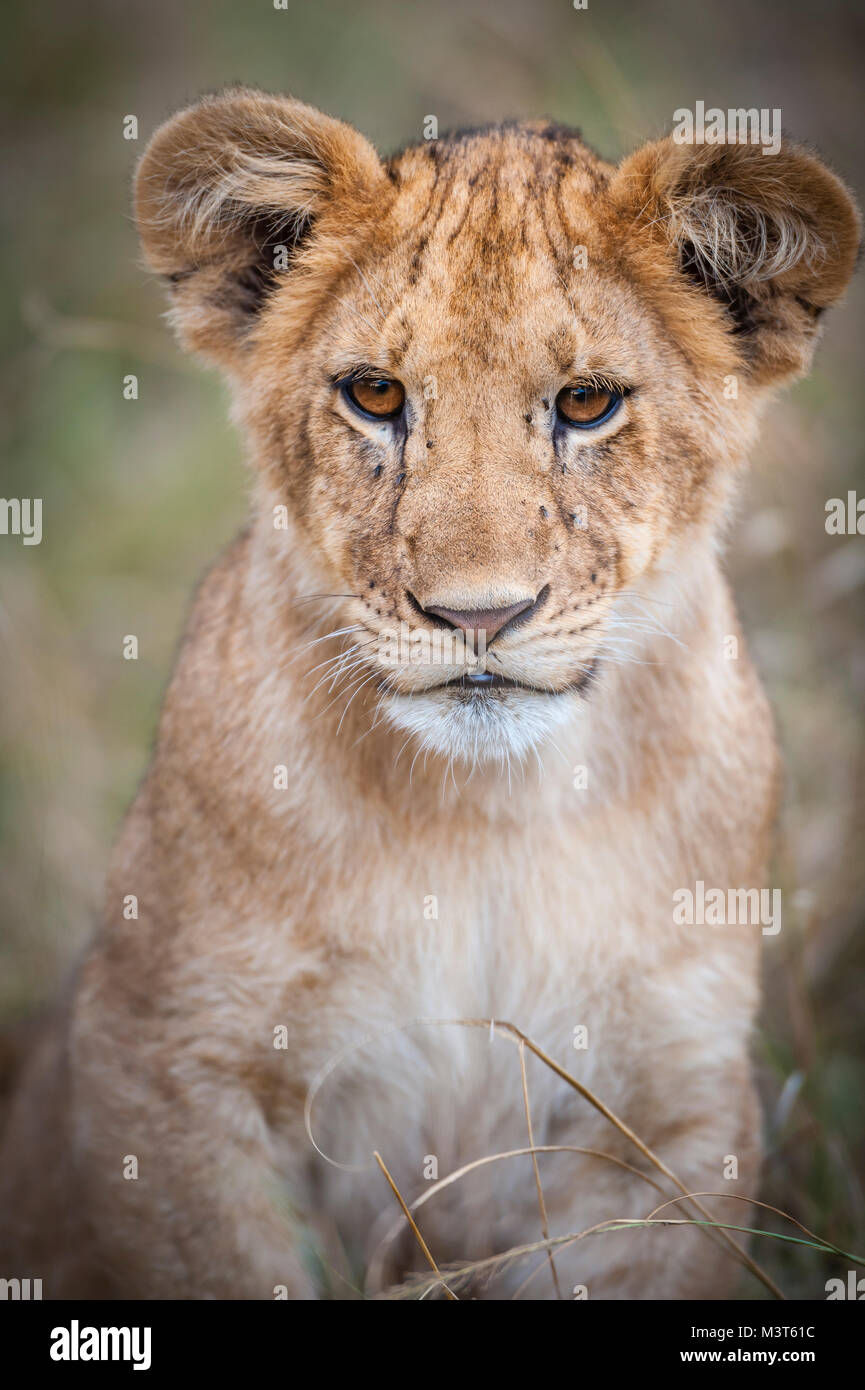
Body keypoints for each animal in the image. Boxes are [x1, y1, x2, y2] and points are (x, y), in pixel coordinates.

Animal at [0, 90, 858, 1300]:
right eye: (376, 395)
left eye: (585, 403)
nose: (477, 617)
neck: (484, 816)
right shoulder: (164, 1059)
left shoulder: (671, 1112)